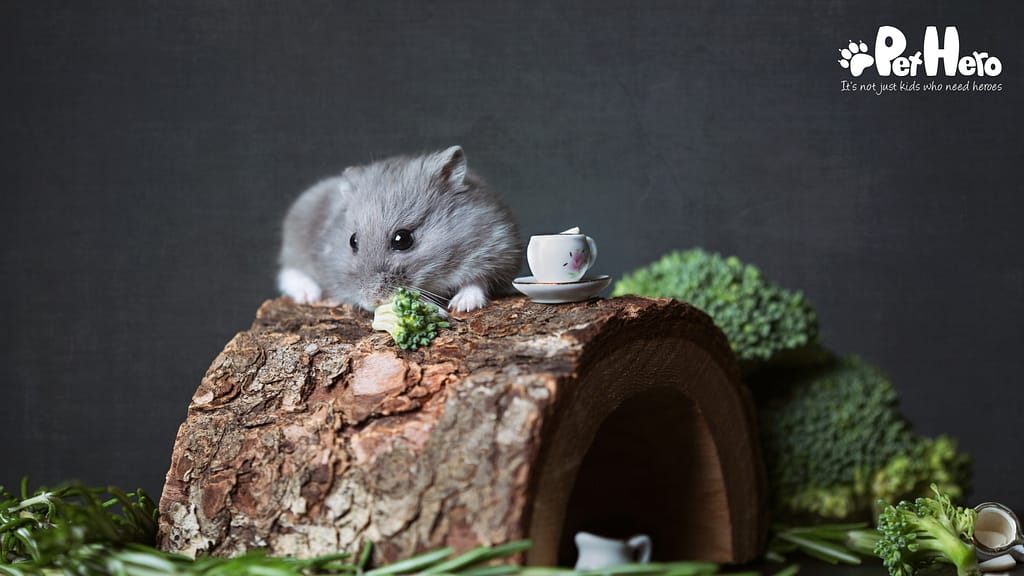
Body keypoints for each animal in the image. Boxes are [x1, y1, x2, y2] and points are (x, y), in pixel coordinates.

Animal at [277, 146, 522, 313]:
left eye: (402, 239)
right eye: (352, 241)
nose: (372, 302)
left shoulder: (498, 248)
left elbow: (477, 281)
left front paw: (461, 306)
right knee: (289, 271)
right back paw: (308, 295)